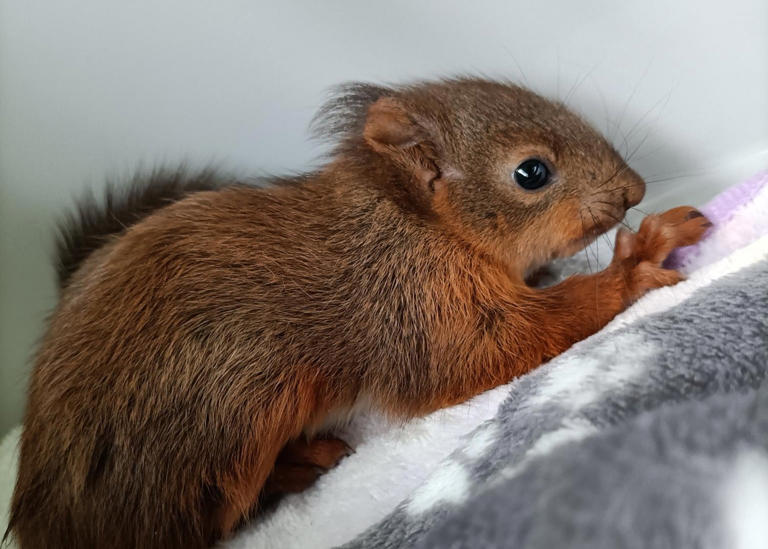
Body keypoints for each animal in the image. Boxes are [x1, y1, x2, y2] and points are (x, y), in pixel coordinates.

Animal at [5, 78, 710, 549]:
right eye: (531, 172)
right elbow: (492, 346)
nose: (634, 190)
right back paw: (301, 464)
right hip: (227, 413)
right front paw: (635, 262)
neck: (419, 220)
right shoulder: (412, 298)